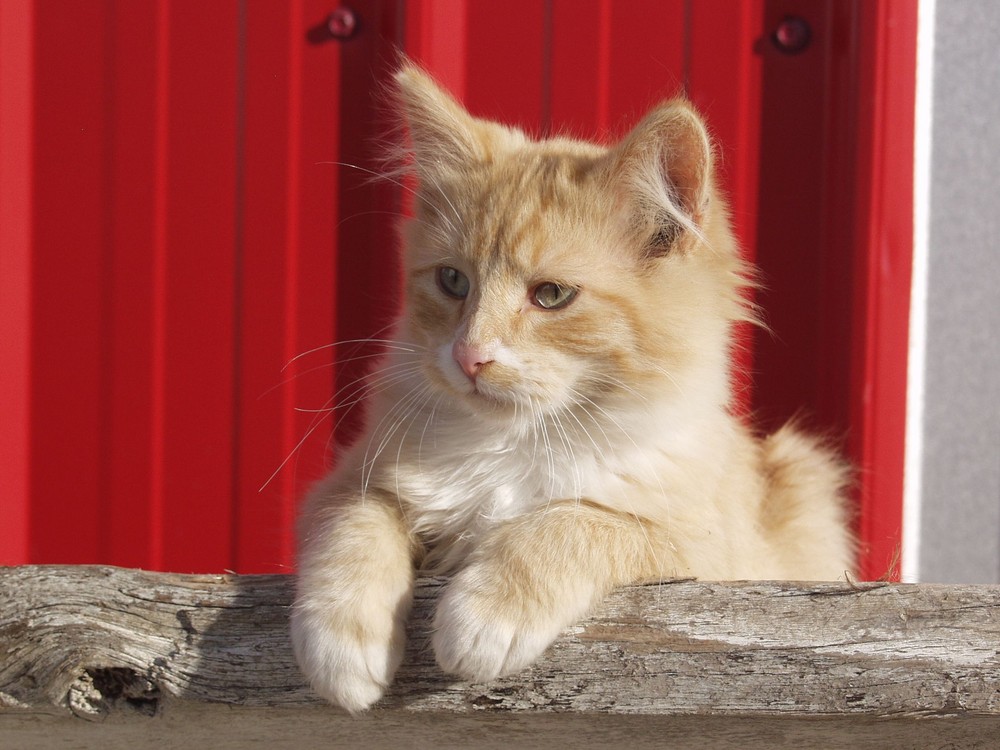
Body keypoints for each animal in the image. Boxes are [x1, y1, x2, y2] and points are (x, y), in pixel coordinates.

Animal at [288, 61, 852, 712]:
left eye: (552, 295)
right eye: (453, 282)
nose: (469, 356)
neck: (514, 447)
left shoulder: (705, 552)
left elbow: (571, 523)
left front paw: (483, 617)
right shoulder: (349, 483)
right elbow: (354, 530)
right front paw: (344, 644)